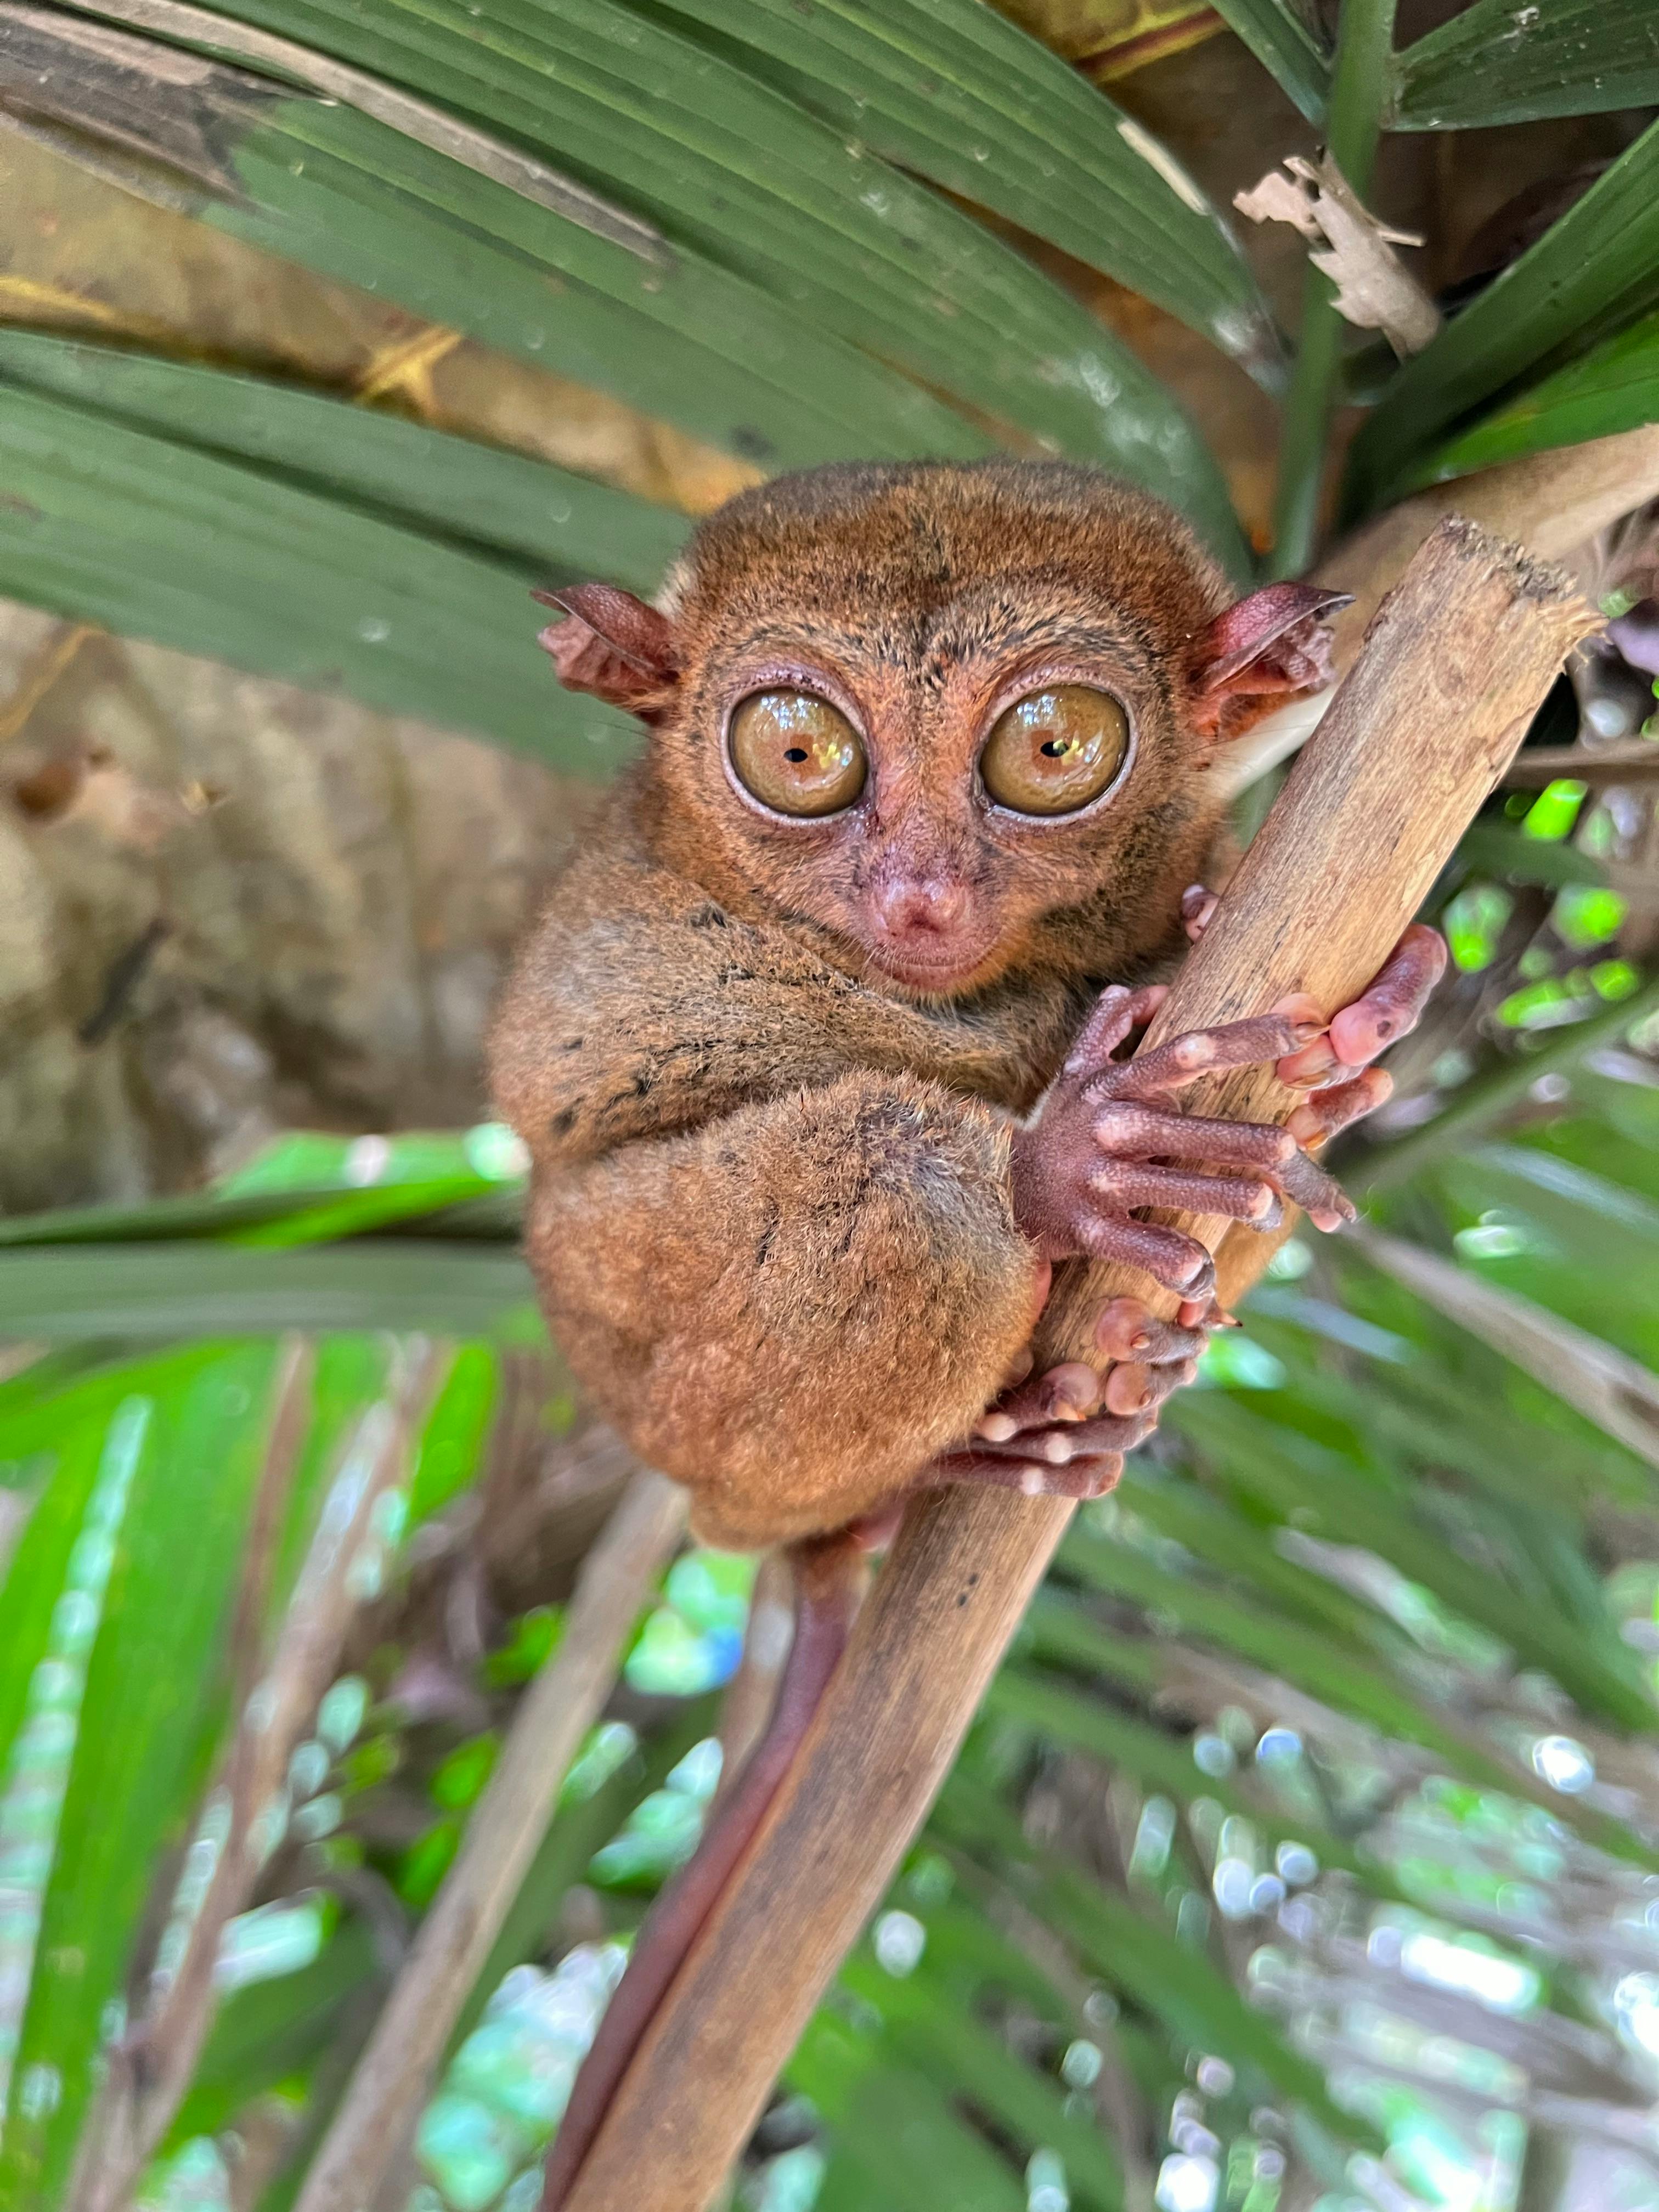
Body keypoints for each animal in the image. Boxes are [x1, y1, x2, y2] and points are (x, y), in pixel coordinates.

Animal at [485, 460, 1445, 2204]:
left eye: (1052, 749)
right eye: (800, 754)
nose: (919, 895)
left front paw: (1363, 1025)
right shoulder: (669, 958)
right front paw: (1078, 1159)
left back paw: (1101, 1405)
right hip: (652, 1339)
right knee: (911, 1177)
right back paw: (980, 1412)